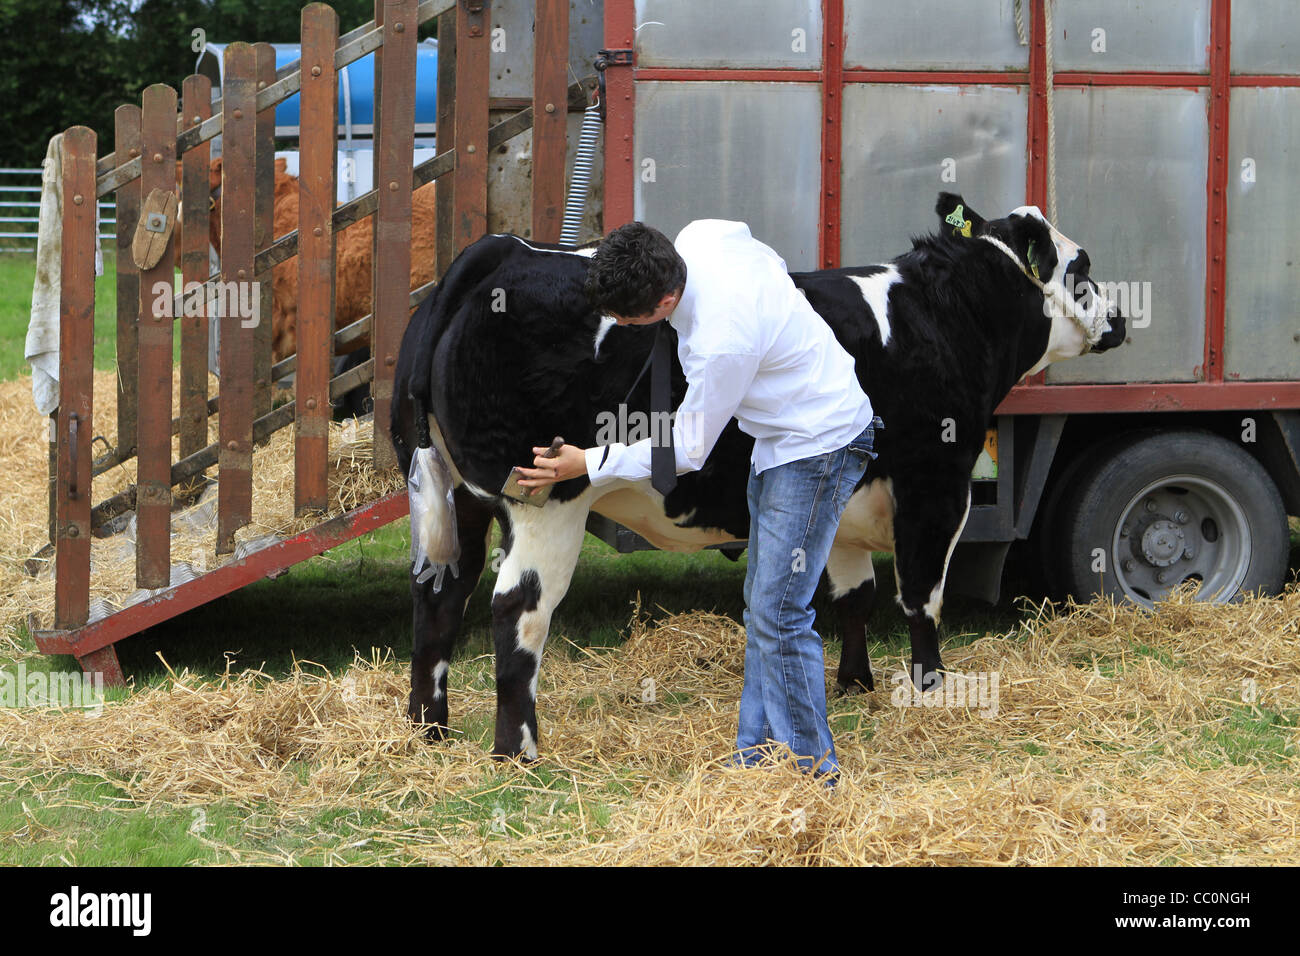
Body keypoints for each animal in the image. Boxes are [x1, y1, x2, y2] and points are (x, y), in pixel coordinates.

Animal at [389, 193, 1126, 760]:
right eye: (1083, 266)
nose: (1121, 318)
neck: (939, 318)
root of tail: (500, 249)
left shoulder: (849, 498)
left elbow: (851, 595)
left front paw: (854, 683)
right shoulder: (935, 483)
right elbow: (921, 596)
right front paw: (930, 689)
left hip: (456, 498)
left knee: (438, 599)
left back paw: (430, 729)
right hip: (545, 503)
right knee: (517, 612)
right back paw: (517, 749)